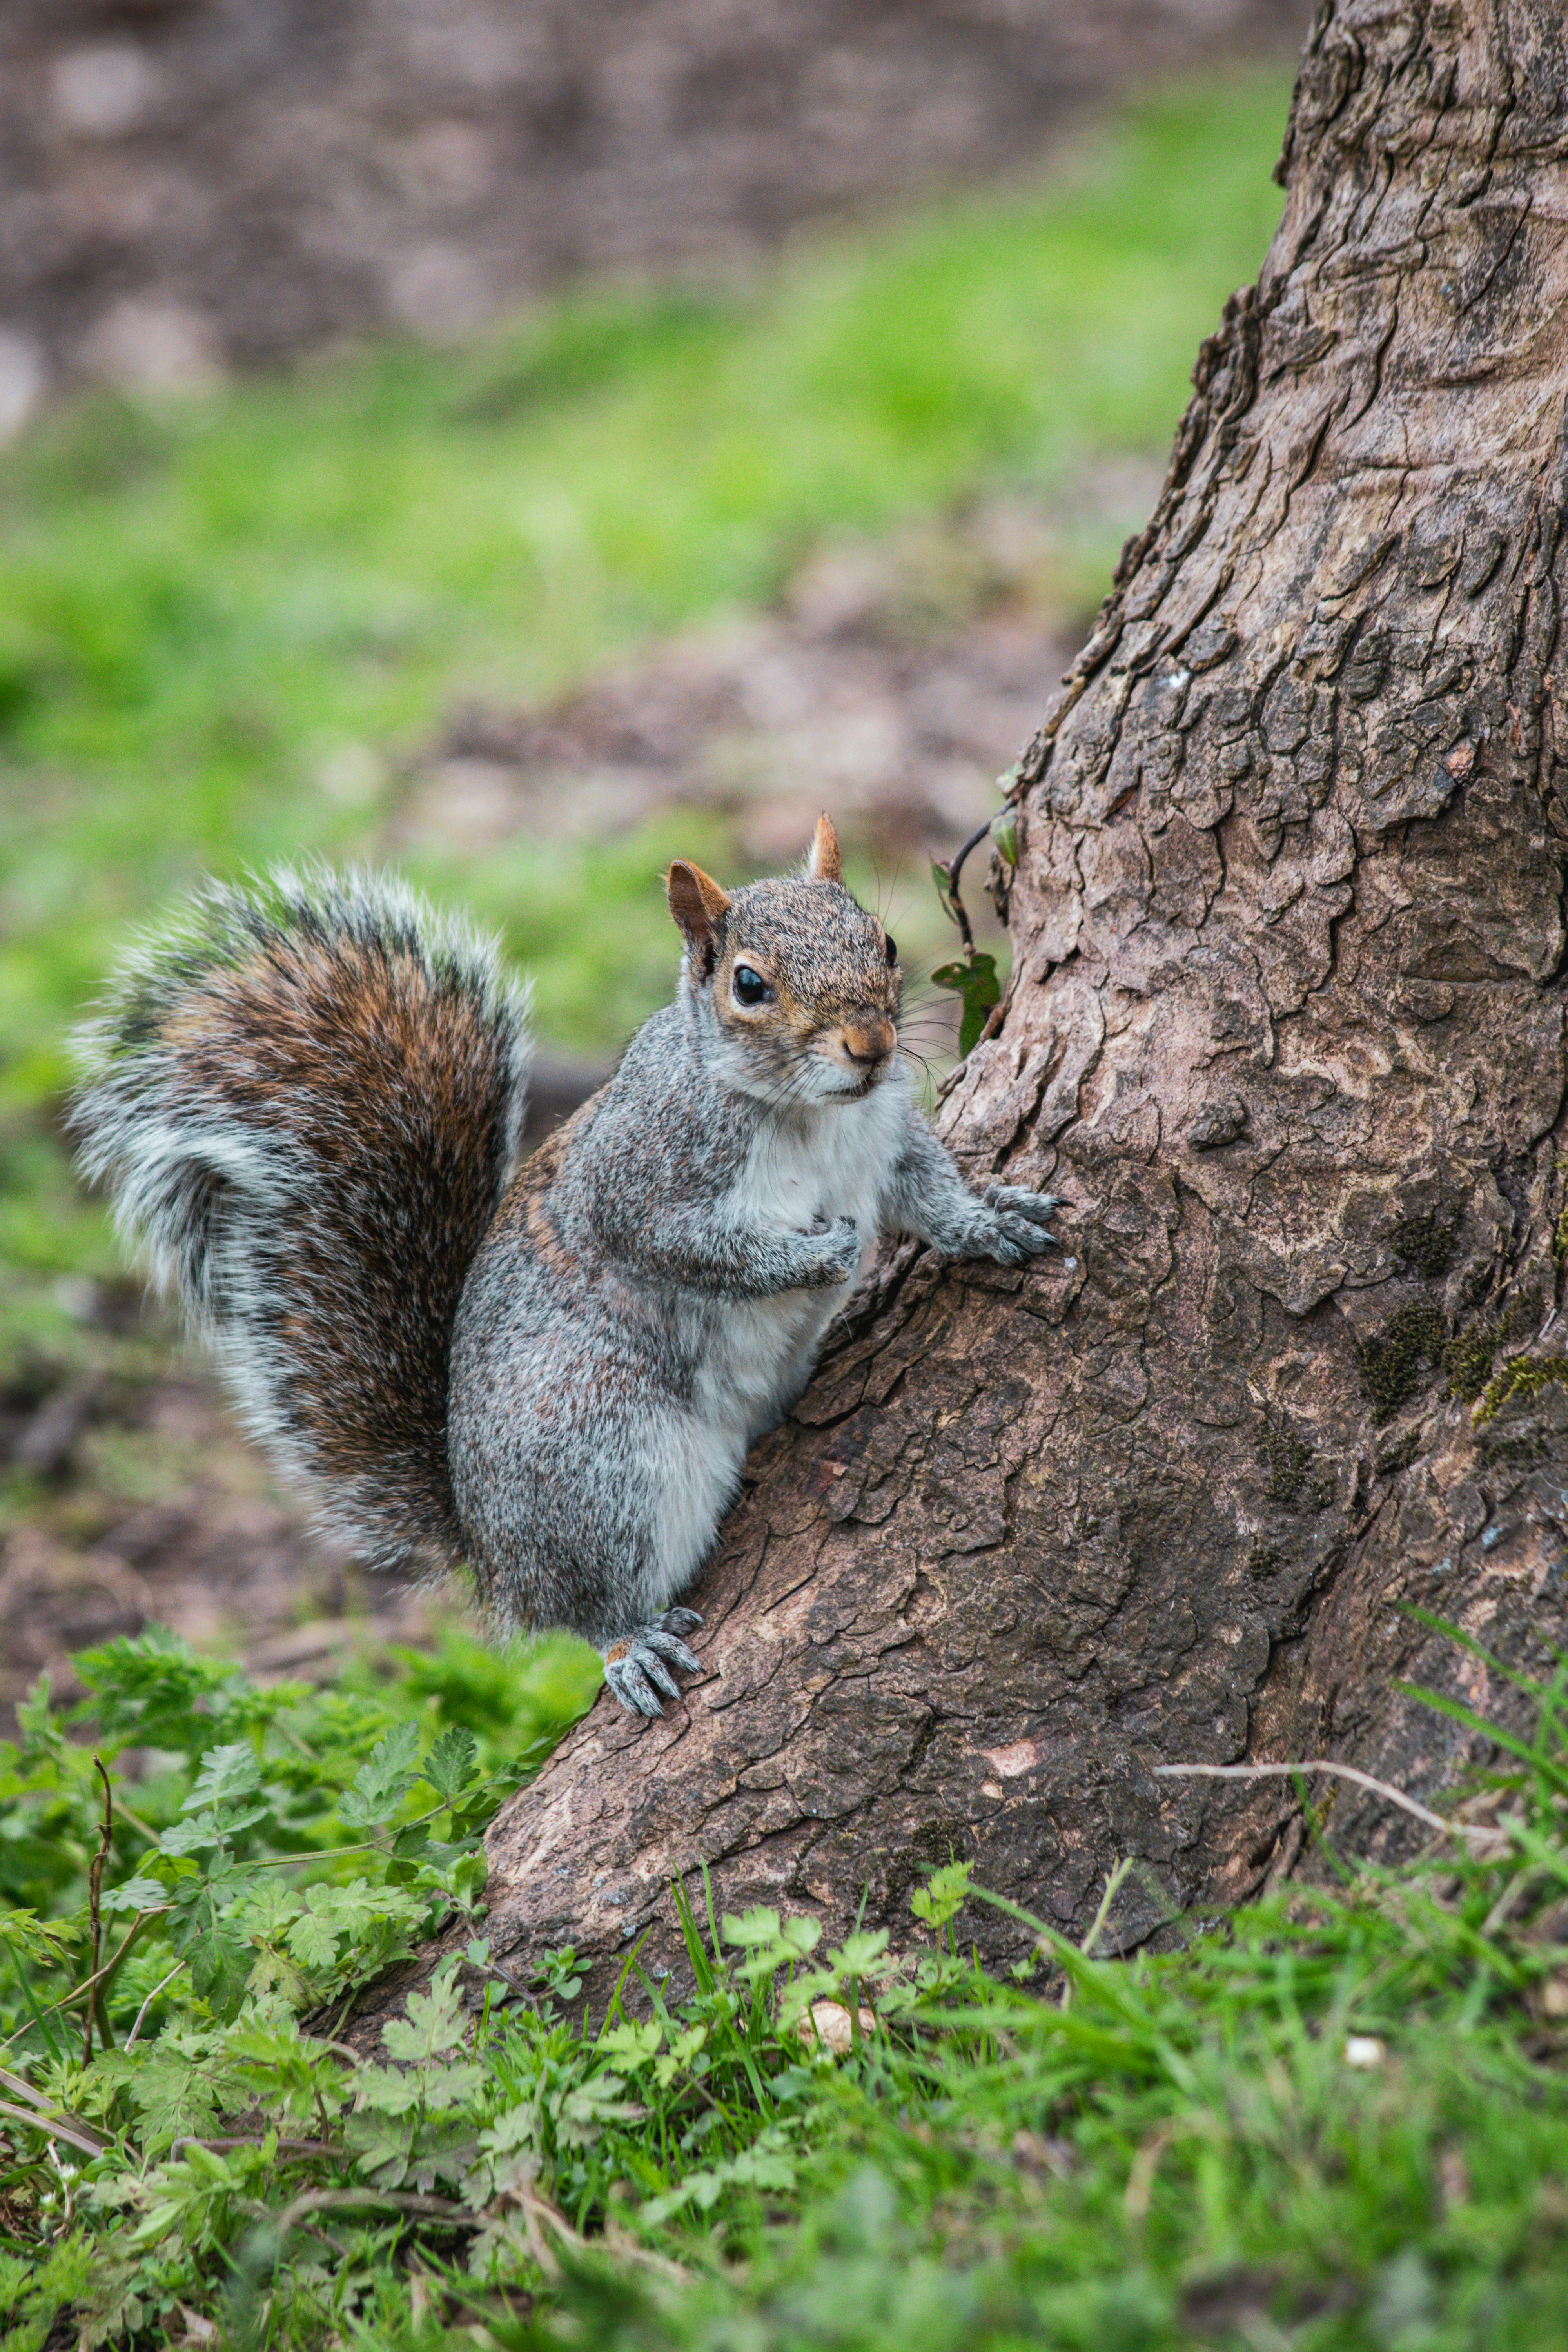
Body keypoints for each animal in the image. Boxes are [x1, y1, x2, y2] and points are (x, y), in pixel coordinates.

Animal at [69, 814, 1061, 1718]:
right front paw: (824, 1254)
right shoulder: (638, 1186)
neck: (808, 1111)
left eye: (884, 942)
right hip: (599, 1462)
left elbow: (926, 1193)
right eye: (748, 985)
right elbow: (702, 1252)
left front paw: (989, 1224)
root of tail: (490, 1556)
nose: (871, 1047)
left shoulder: (883, 1139)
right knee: (584, 1604)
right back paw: (629, 1643)